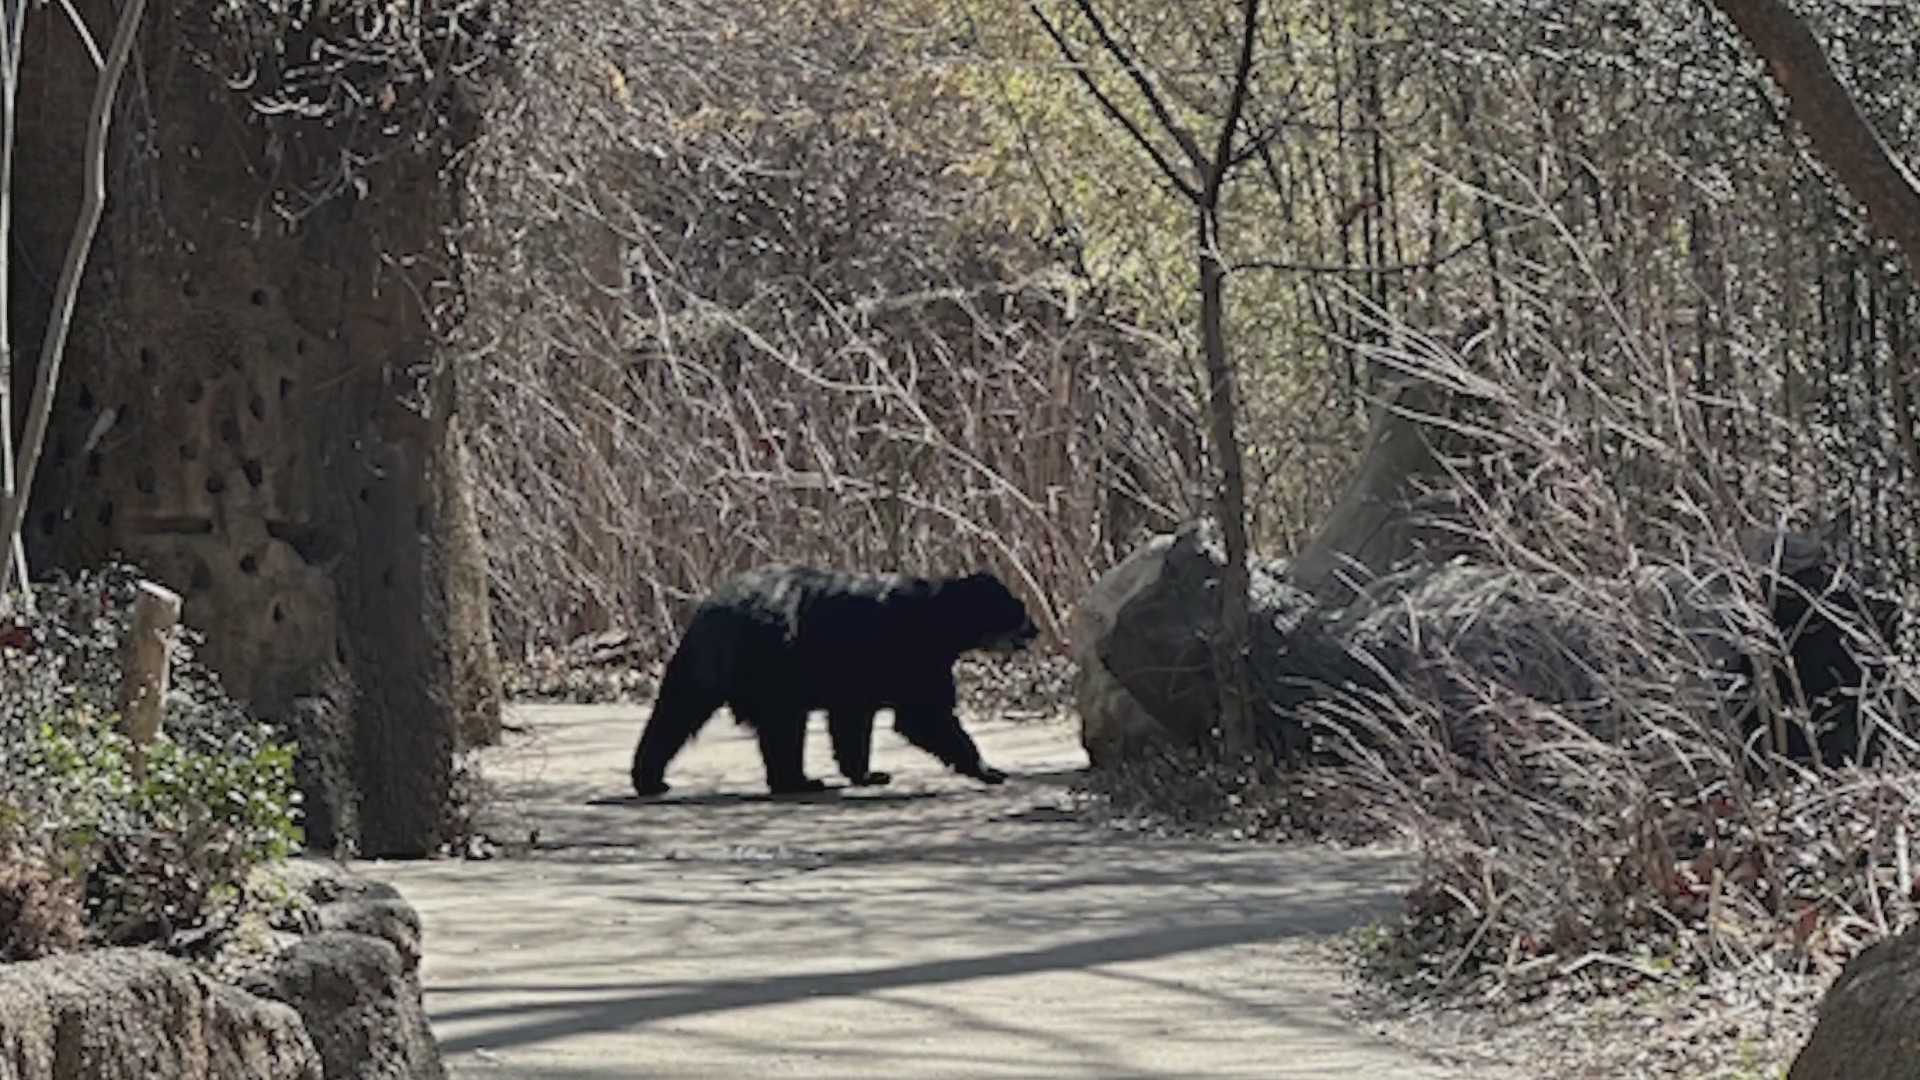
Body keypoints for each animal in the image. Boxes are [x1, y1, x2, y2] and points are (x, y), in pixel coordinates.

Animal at [630, 565, 1040, 798]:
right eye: (1018, 609)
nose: (1036, 629)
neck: (944, 622)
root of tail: (712, 612)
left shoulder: (858, 674)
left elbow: (852, 720)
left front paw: (868, 773)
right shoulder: (913, 652)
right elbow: (924, 714)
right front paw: (990, 770)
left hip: (703, 666)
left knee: (676, 712)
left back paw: (648, 778)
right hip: (773, 659)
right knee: (782, 725)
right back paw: (797, 780)